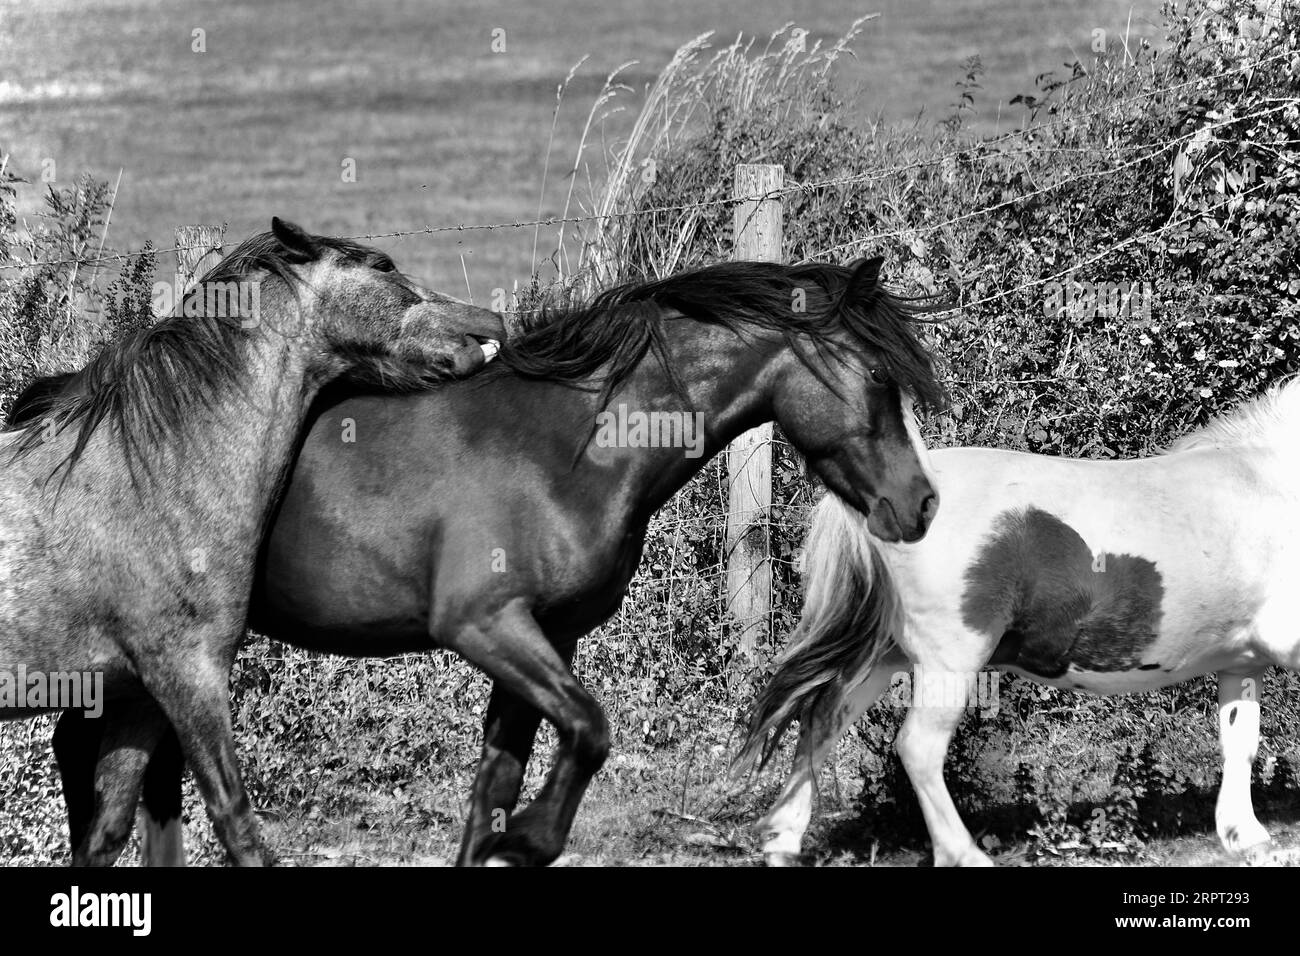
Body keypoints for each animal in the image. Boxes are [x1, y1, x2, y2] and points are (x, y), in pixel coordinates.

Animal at [0, 217, 506, 866]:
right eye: (384, 267)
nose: (490, 324)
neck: (150, 478)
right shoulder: (189, 678)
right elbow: (236, 821)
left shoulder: (138, 697)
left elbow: (105, 831)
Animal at [44, 255, 946, 866]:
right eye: (876, 373)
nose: (922, 505)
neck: (567, 446)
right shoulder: (485, 627)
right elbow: (588, 732)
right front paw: (534, 840)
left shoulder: (545, 635)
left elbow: (496, 787)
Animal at [737, 377, 1300, 866]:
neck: (1273, 481)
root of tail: (877, 506)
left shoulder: (1242, 662)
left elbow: (1240, 744)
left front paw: (1245, 836)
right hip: (950, 660)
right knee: (917, 748)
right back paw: (964, 854)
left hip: (882, 657)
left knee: (821, 722)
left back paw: (783, 842)